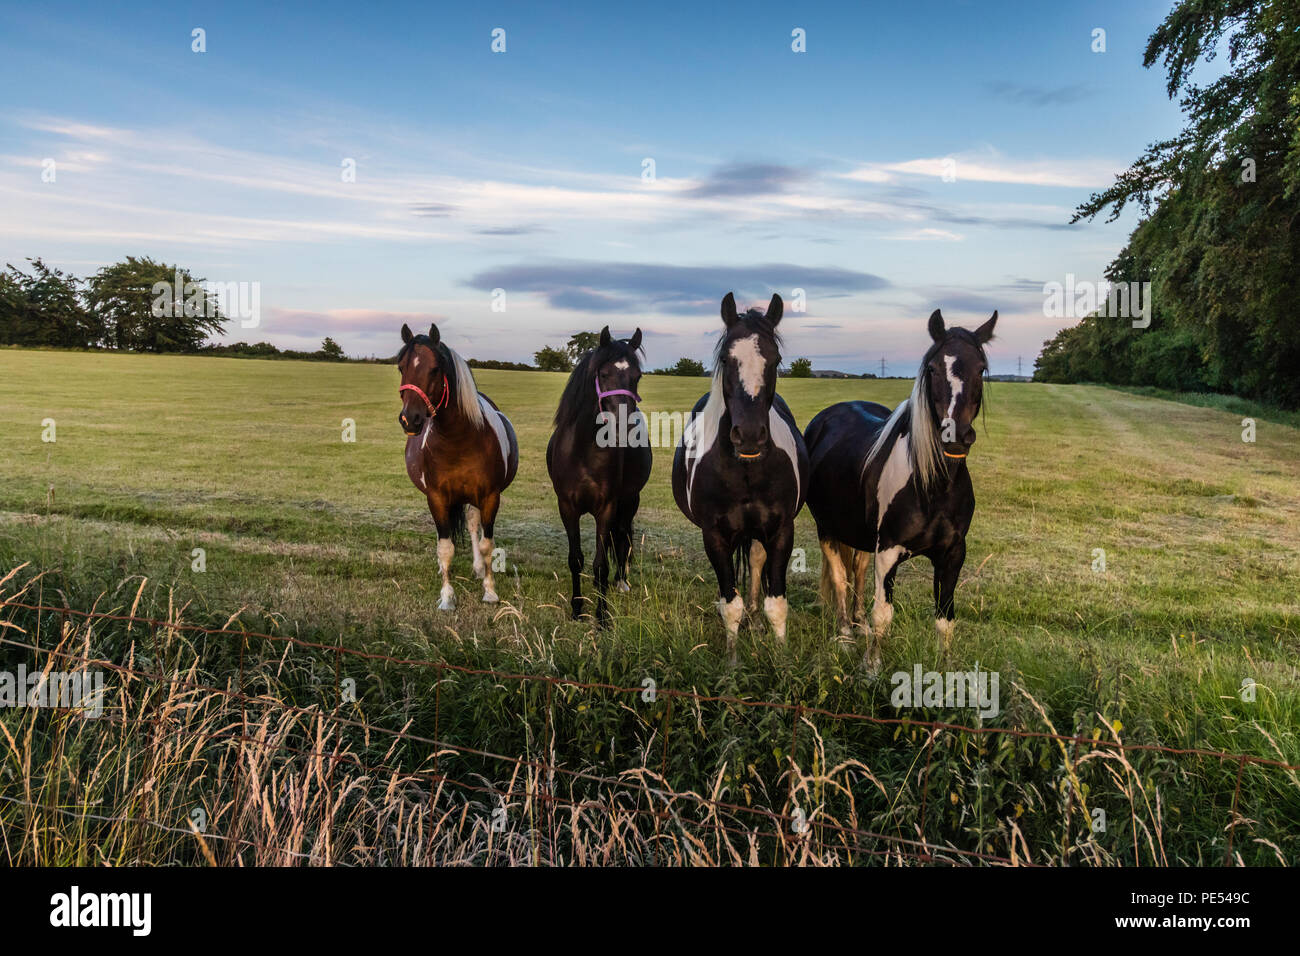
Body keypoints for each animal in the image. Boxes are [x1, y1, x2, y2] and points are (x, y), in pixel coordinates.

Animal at [396, 323, 519, 610]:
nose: (410, 419)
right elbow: (445, 547)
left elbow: (487, 545)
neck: (457, 440)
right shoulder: (437, 498)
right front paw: (447, 597)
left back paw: (478, 568)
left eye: (435, 368)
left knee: (474, 526)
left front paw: (489, 591)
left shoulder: (490, 497)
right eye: (401, 367)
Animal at [546, 326, 652, 622]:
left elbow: (602, 562)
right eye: (603, 374)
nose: (627, 426)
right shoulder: (567, 507)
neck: (583, 451)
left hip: (629, 501)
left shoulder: (607, 506)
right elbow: (577, 560)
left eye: (637, 376)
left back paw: (620, 582)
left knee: (624, 536)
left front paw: (602, 615)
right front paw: (577, 608)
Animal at [672, 292, 809, 660]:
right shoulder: (715, 535)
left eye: (775, 359)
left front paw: (782, 658)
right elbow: (729, 604)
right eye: (726, 358)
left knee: (756, 566)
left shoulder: (781, 531)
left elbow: (776, 603)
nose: (748, 436)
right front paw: (732, 661)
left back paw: (756, 621)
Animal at [803, 308, 996, 670]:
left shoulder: (953, 554)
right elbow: (883, 614)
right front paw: (872, 667)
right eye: (933, 368)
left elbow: (945, 619)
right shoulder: (889, 551)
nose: (956, 436)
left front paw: (945, 669)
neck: (933, 486)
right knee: (839, 577)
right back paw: (846, 635)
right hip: (828, 528)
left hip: (861, 537)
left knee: (857, 574)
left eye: (981, 368)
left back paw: (858, 625)